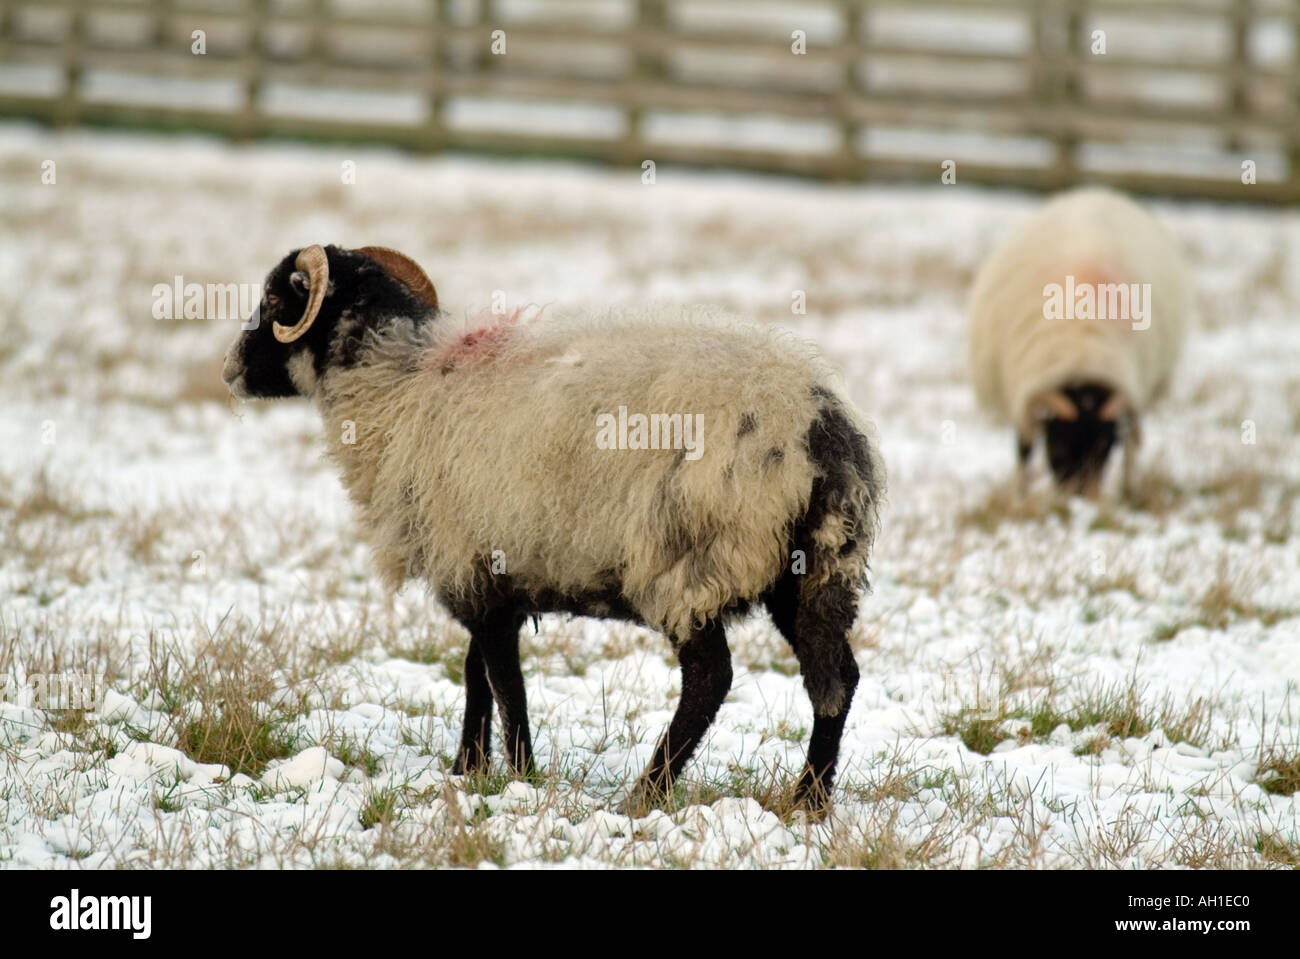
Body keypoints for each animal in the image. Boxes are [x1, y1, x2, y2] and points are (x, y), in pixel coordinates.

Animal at [222, 244, 886, 813]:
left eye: (278, 297)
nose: (229, 368)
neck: (400, 387)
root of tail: (817, 424)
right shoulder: (486, 568)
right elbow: (477, 674)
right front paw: (468, 769)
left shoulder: (473, 563)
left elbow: (502, 681)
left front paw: (518, 777)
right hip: (816, 568)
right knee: (836, 678)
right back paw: (811, 800)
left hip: (694, 559)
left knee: (710, 678)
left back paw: (648, 793)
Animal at [967, 187, 1192, 499]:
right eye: (1059, 443)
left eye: (1106, 446)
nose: (1078, 496)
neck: (1081, 345)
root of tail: (1097, 191)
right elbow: (1024, 448)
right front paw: (1019, 497)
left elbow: (1130, 442)